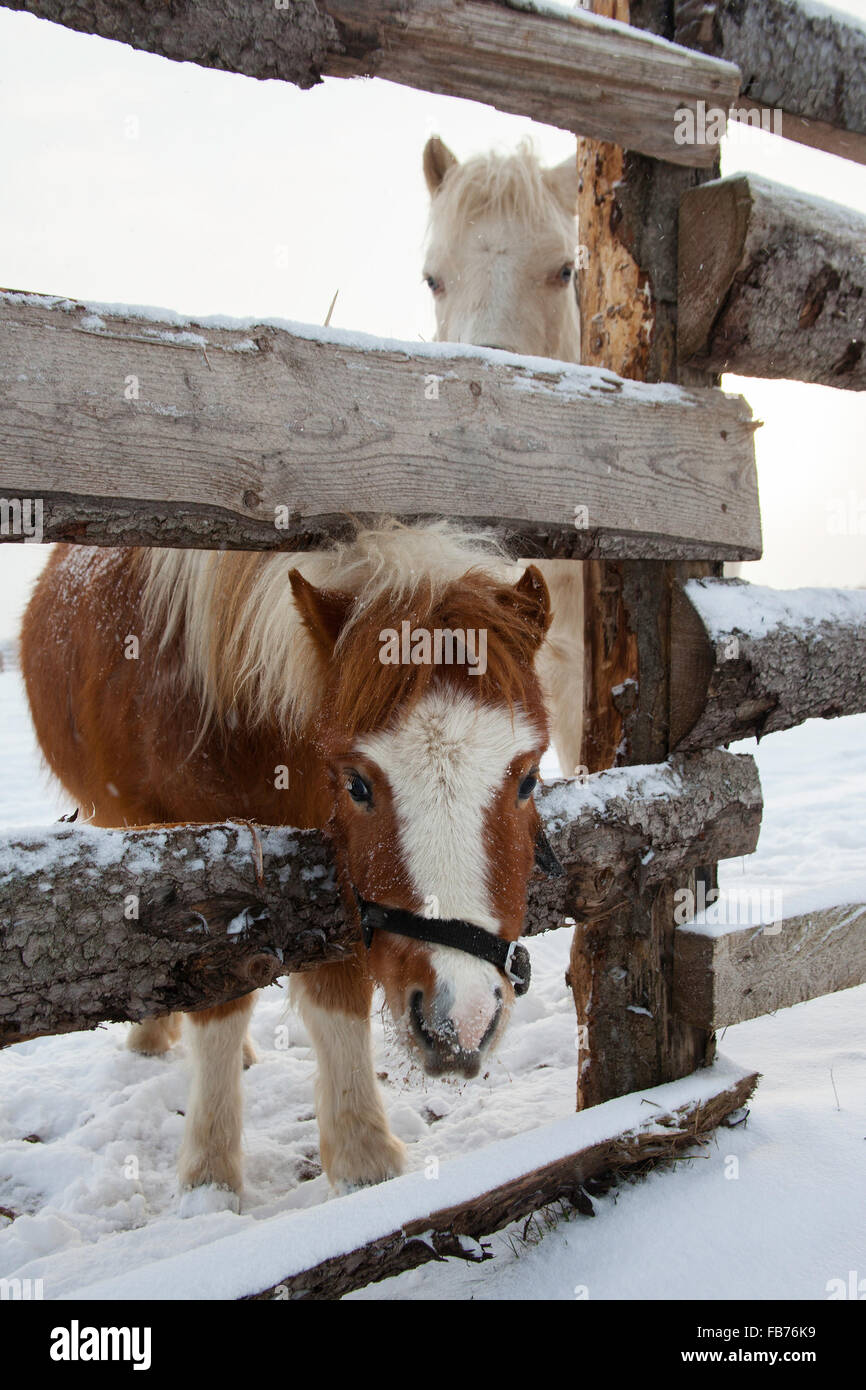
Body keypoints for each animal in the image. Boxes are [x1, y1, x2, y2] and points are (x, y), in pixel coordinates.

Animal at [20, 521, 559, 1211]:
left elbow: (338, 992)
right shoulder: (200, 879)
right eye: (356, 783)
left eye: (529, 778)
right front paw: (211, 1175)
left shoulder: (335, 875)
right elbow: (217, 1008)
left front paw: (362, 1157)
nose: (460, 1020)